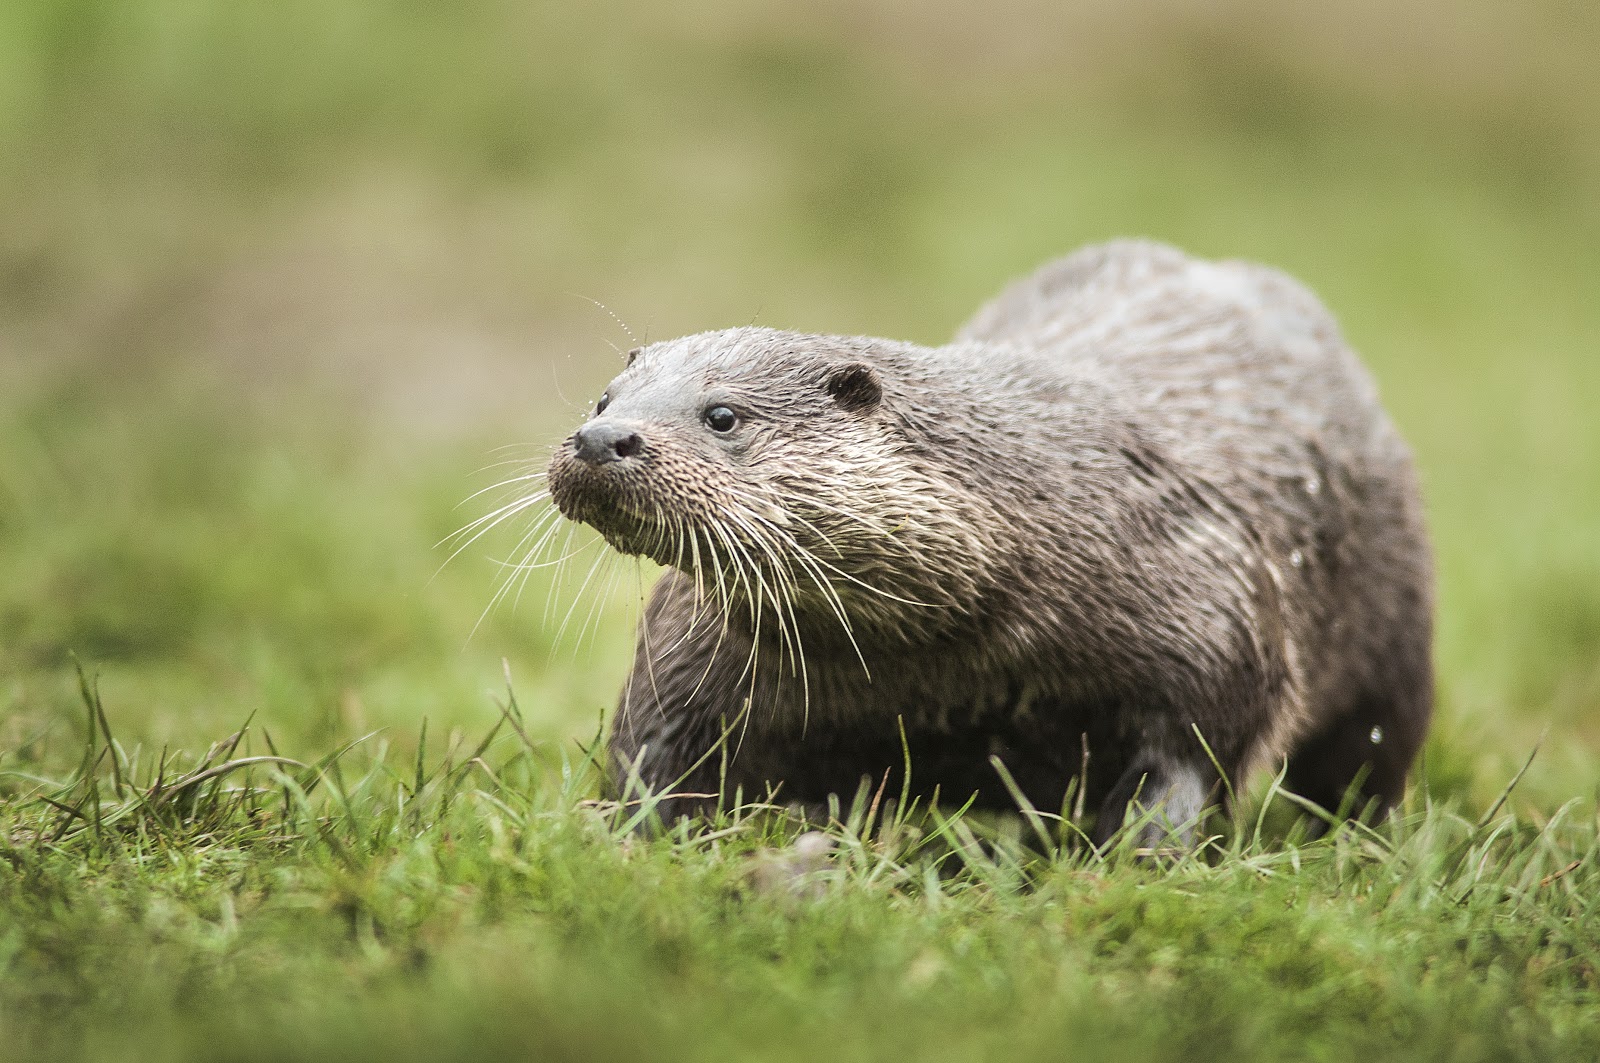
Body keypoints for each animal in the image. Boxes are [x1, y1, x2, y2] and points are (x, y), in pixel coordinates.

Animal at [545, 240, 1433, 844]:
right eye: (604, 397)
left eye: (723, 414)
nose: (601, 439)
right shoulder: (695, 649)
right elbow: (654, 752)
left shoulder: (1218, 610)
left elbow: (1198, 751)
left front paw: (1139, 856)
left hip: (1394, 631)